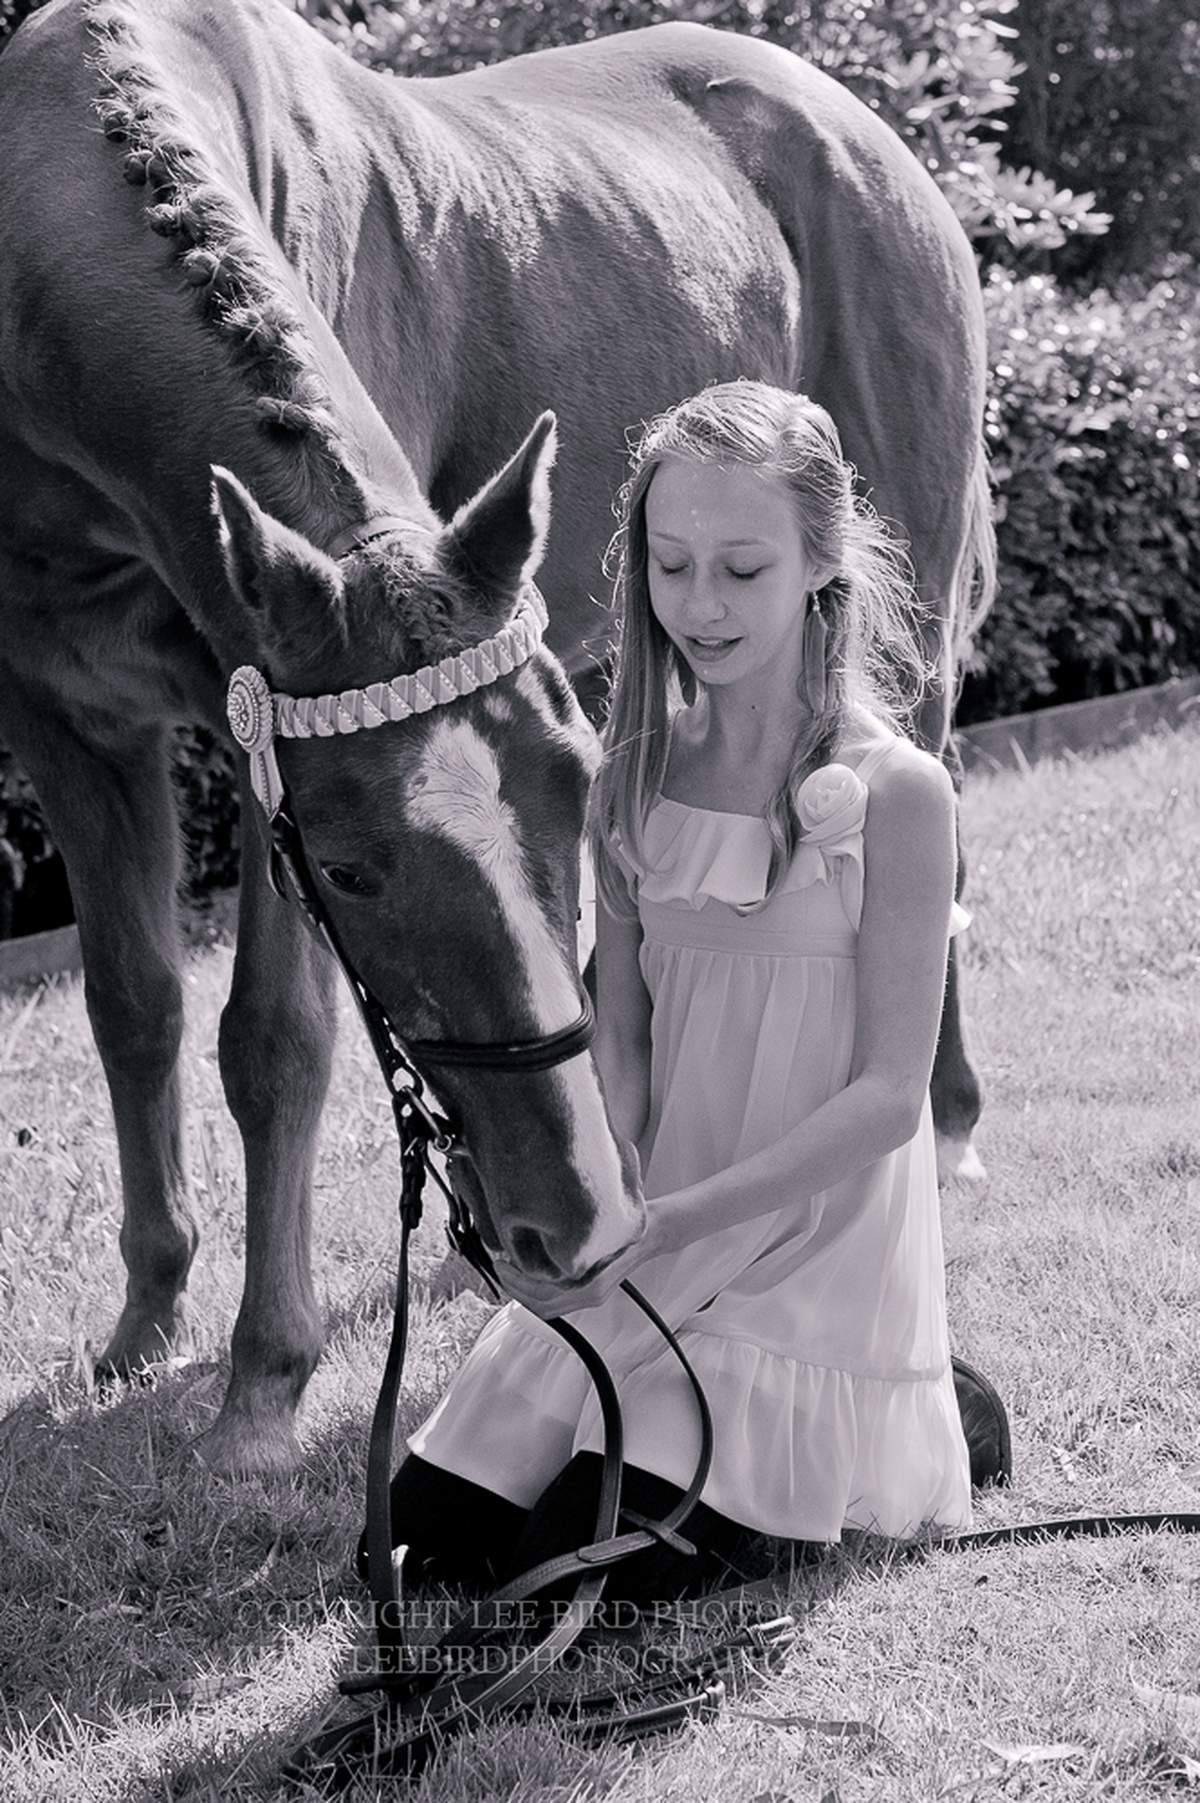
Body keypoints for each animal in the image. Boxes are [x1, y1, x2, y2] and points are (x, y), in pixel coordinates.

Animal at [0, 0, 994, 1473]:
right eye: (352, 866)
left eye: (569, 801)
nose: (573, 1221)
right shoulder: (70, 718)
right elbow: (135, 1006)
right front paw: (146, 1323)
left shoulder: (249, 725)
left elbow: (273, 1039)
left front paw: (263, 1379)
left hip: (906, 610)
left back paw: (946, 1116)